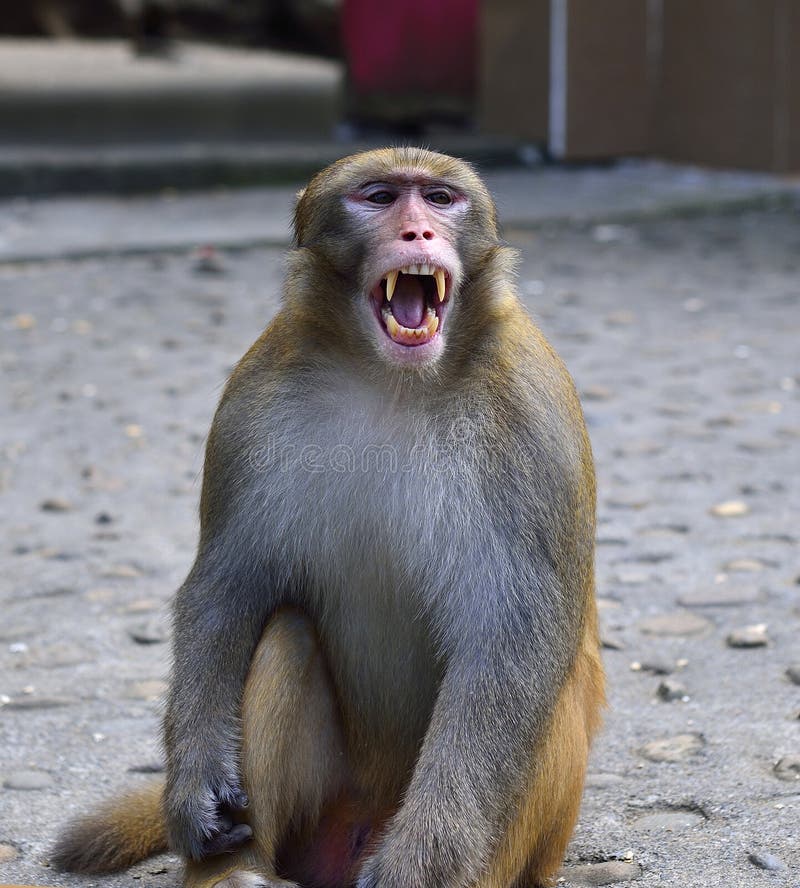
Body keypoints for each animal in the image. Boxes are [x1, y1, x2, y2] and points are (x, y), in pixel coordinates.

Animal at [52, 147, 604, 888]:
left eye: (440, 198)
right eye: (379, 197)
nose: (418, 232)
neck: (396, 382)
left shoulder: (532, 417)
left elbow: (513, 642)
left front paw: (421, 860)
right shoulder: (253, 397)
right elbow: (226, 588)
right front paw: (194, 786)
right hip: (324, 813)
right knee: (284, 631)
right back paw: (236, 871)